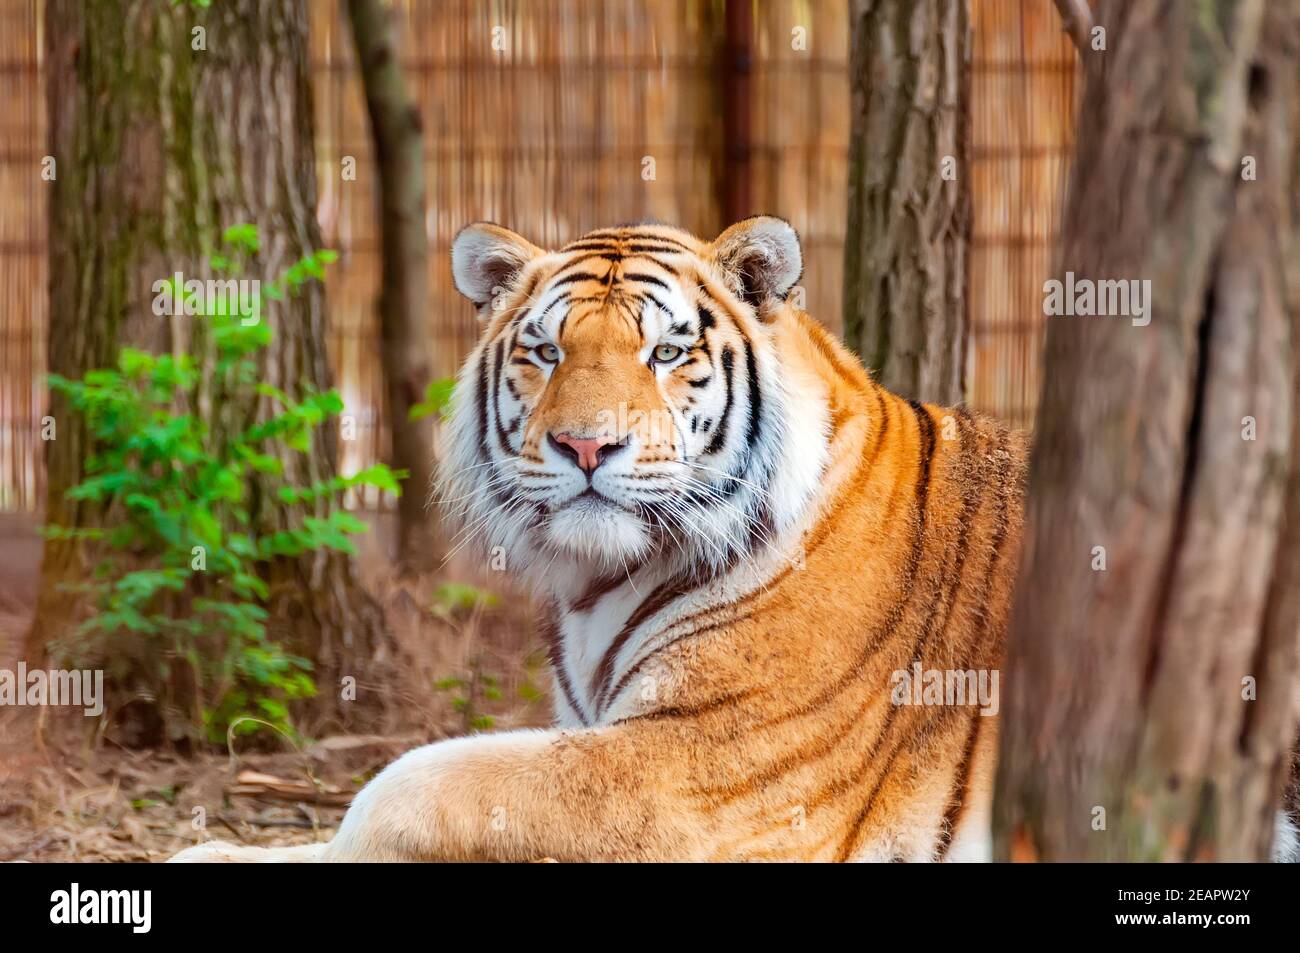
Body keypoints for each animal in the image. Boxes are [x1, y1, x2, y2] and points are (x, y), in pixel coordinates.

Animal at [172, 215, 1029, 862]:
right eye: (547, 352)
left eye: (667, 352)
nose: (586, 446)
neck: (599, 583)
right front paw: (214, 851)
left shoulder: (705, 772)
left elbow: (407, 787)